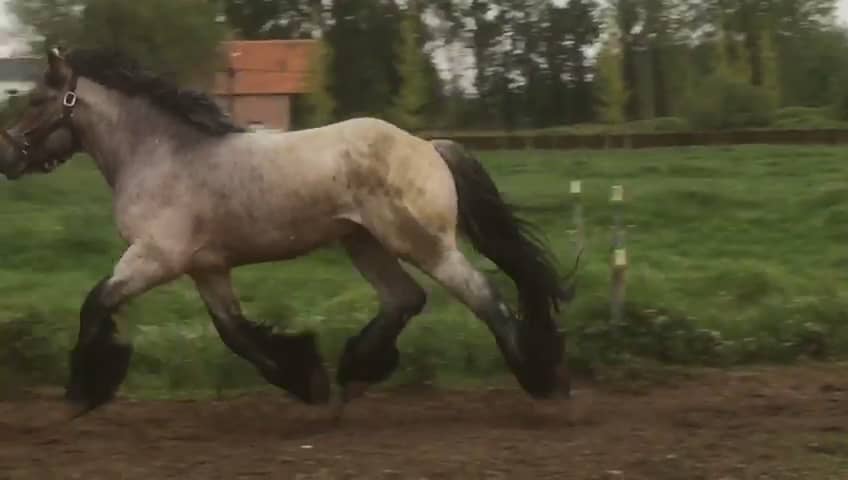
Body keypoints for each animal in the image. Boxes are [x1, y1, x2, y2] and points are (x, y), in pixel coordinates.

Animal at [0, 46, 575, 418]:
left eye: (36, 100)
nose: (8, 156)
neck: (161, 154)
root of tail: (429, 146)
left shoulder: (155, 257)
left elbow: (96, 303)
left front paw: (81, 393)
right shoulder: (207, 267)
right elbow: (235, 333)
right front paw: (307, 379)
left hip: (422, 244)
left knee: (485, 296)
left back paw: (547, 381)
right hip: (361, 242)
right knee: (404, 299)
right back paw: (351, 377)